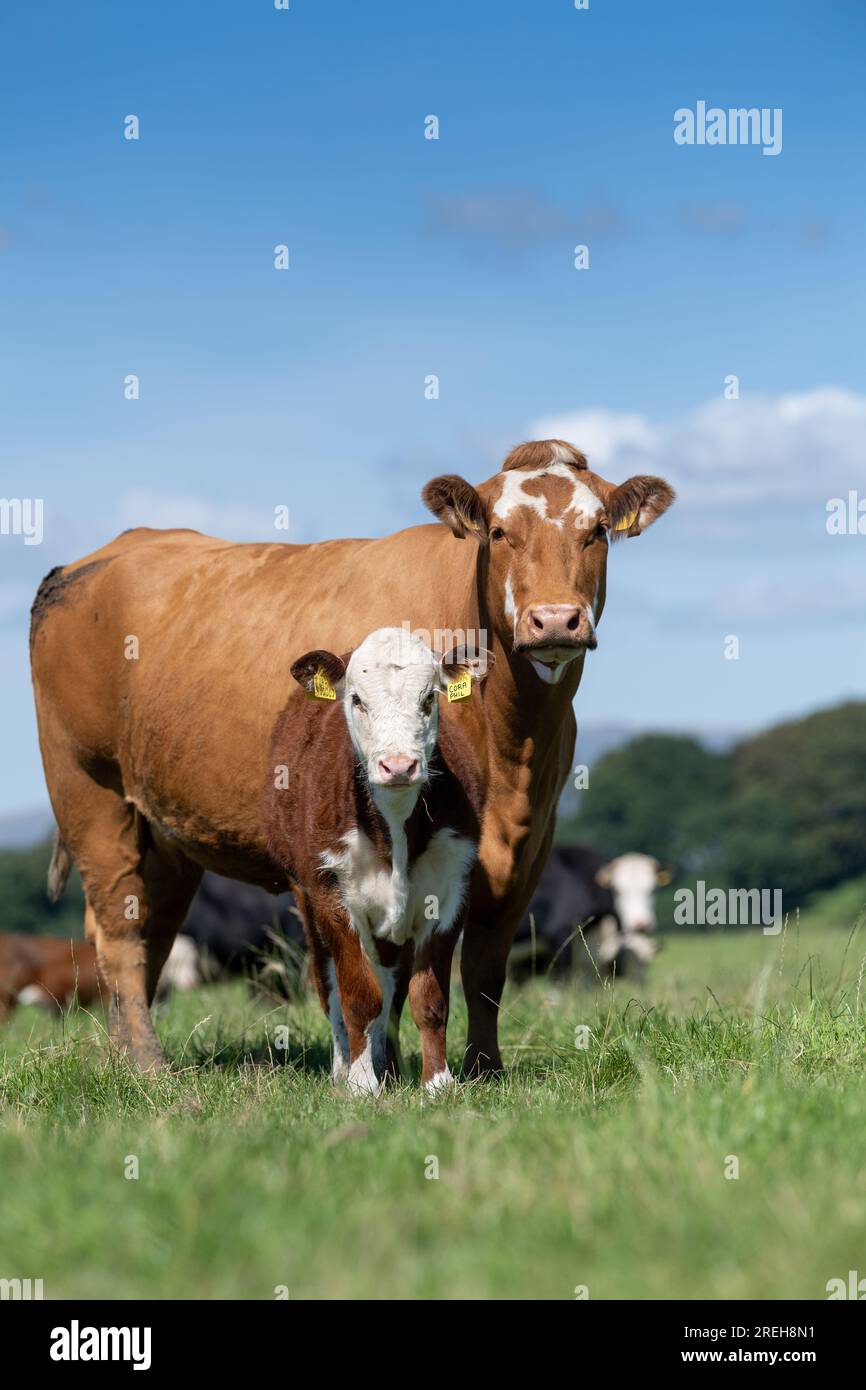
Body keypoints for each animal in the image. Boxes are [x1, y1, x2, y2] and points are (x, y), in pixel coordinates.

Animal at [265, 627, 488, 1093]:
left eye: (429, 697)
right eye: (357, 700)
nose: (399, 765)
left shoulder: (451, 891)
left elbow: (429, 997)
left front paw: (437, 1082)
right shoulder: (330, 893)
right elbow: (358, 995)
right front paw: (361, 1083)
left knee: (392, 988)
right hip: (305, 899)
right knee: (331, 988)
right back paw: (346, 1066)